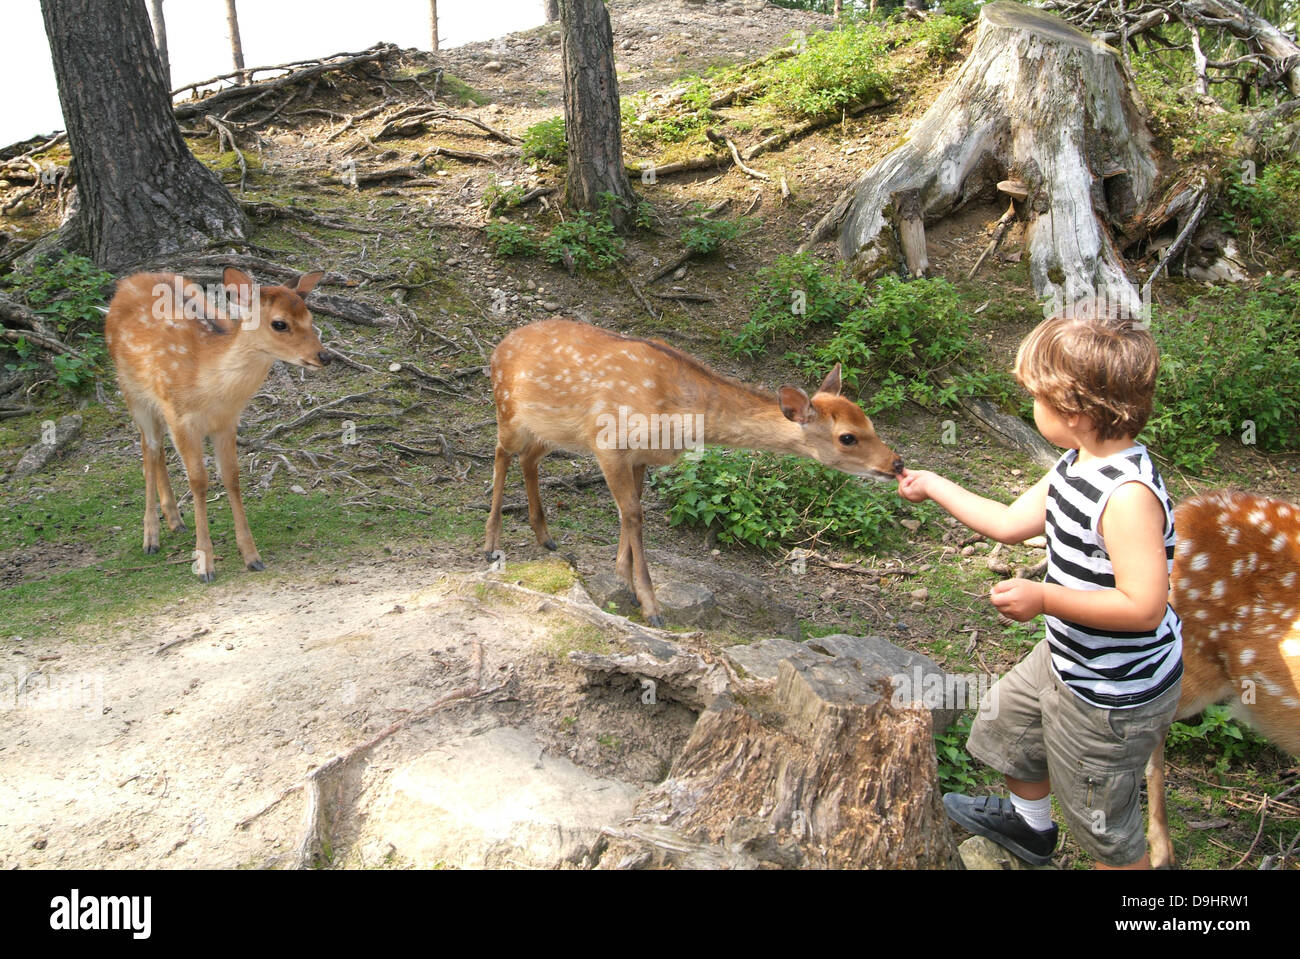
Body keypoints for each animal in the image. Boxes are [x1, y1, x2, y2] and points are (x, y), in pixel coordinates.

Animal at [104, 267, 330, 582]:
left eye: (310, 319)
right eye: (280, 324)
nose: (324, 356)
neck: (210, 386)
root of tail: (127, 283)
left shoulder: (226, 422)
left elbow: (232, 477)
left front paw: (252, 556)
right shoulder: (182, 418)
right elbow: (199, 481)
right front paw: (205, 564)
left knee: (156, 448)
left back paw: (175, 519)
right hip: (132, 391)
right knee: (148, 448)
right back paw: (151, 537)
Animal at [484, 317, 904, 626]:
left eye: (869, 420)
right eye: (847, 437)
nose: (896, 464)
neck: (678, 415)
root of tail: (499, 346)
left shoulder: (639, 456)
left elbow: (629, 514)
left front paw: (624, 581)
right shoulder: (609, 443)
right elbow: (633, 515)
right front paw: (651, 606)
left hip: (552, 429)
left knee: (529, 459)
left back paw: (546, 537)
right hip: (509, 410)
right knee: (502, 454)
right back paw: (491, 544)